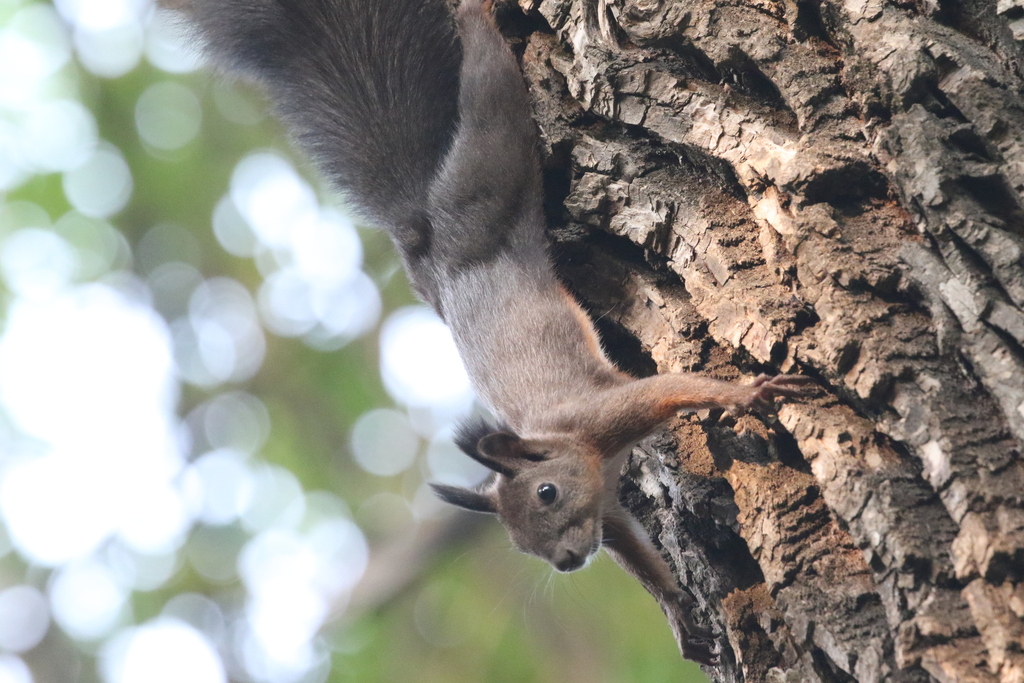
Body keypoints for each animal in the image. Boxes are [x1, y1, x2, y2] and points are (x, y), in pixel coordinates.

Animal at [178, 0, 813, 666]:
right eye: (520, 542)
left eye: (546, 494)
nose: (566, 562)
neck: (572, 445)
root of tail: (434, 245)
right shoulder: (605, 503)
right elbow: (627, 544)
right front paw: (675, 607)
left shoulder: (605, 414)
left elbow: (669, 391)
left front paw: (751, 394)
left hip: (489, 174)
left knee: (489, 93)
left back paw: (475, 18)